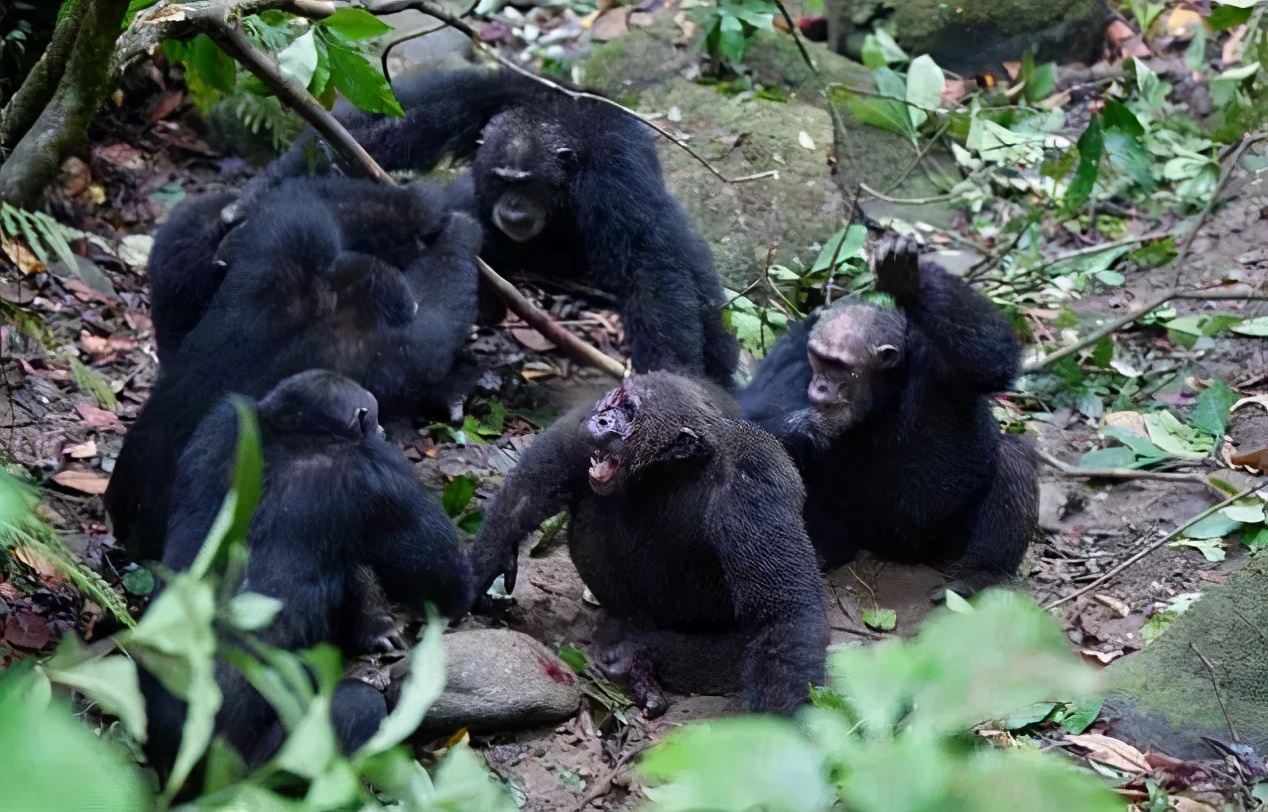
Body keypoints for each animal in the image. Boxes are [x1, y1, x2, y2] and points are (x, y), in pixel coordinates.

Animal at [739, 233, 1039, 600]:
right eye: (819, 358)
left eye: (839, 366)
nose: (821, 385)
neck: (885, 390)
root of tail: (907, 555)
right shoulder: (791, 354)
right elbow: (746, 414)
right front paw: (809, 427)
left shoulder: (943, 364)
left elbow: (993, 358)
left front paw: (909, 281)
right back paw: (822, 553)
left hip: (948, 545)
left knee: (1012, 456)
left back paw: (978, 575)